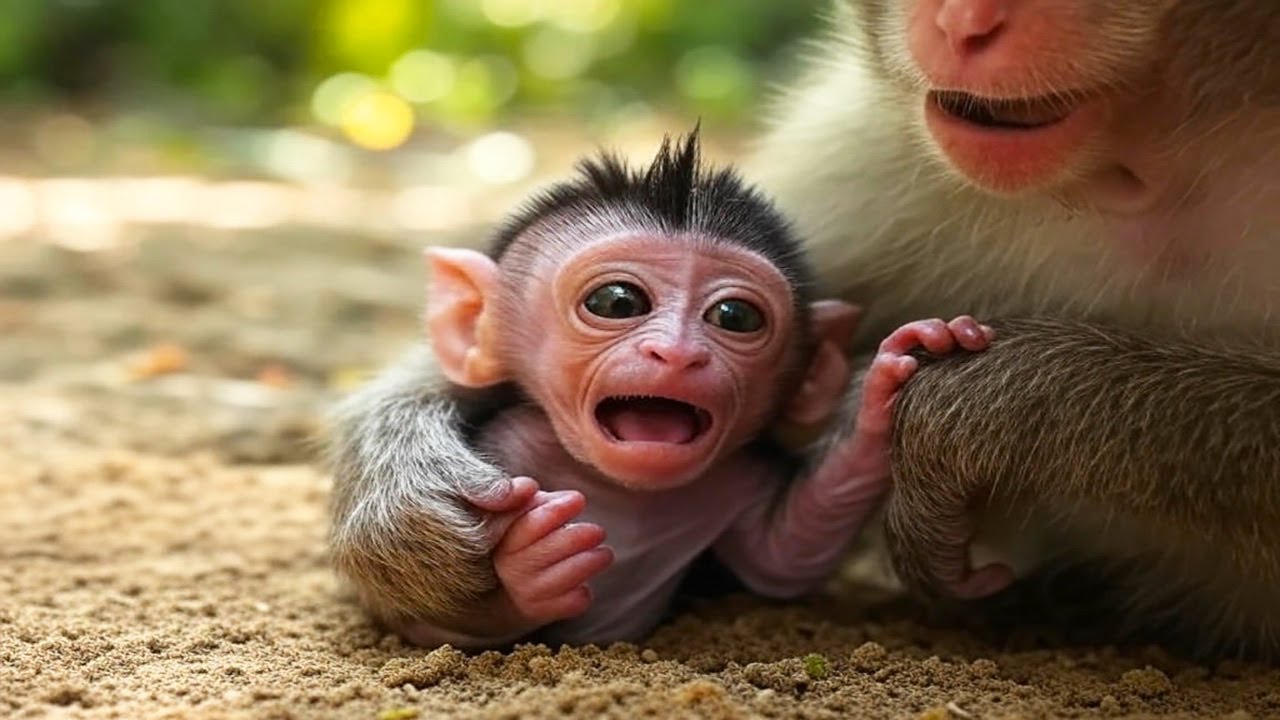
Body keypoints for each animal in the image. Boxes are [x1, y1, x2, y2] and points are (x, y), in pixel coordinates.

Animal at [350, 131, 994, 648]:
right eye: (617, 302)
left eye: (734, 316)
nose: (678, 351)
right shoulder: (503, 455)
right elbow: (432, 624)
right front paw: (529, 569)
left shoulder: (736, 478)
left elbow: (783, 556)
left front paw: (886, 389)